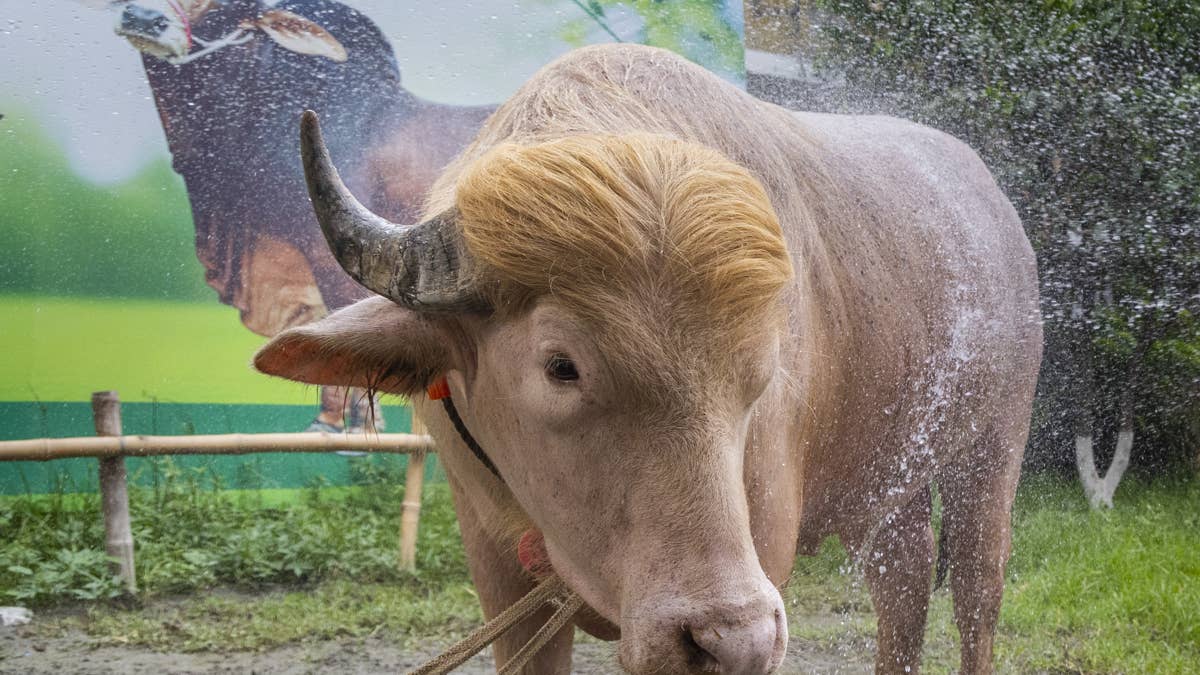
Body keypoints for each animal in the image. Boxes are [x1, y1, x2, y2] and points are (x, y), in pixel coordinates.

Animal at [256, 45, 1043, 674]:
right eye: (561, 365)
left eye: (759, 375)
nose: (732, 638)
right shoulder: (496, 569)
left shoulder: (764, 554)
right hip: (889, 483)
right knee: (902, 586)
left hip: (992, 450)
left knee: (976, 594)